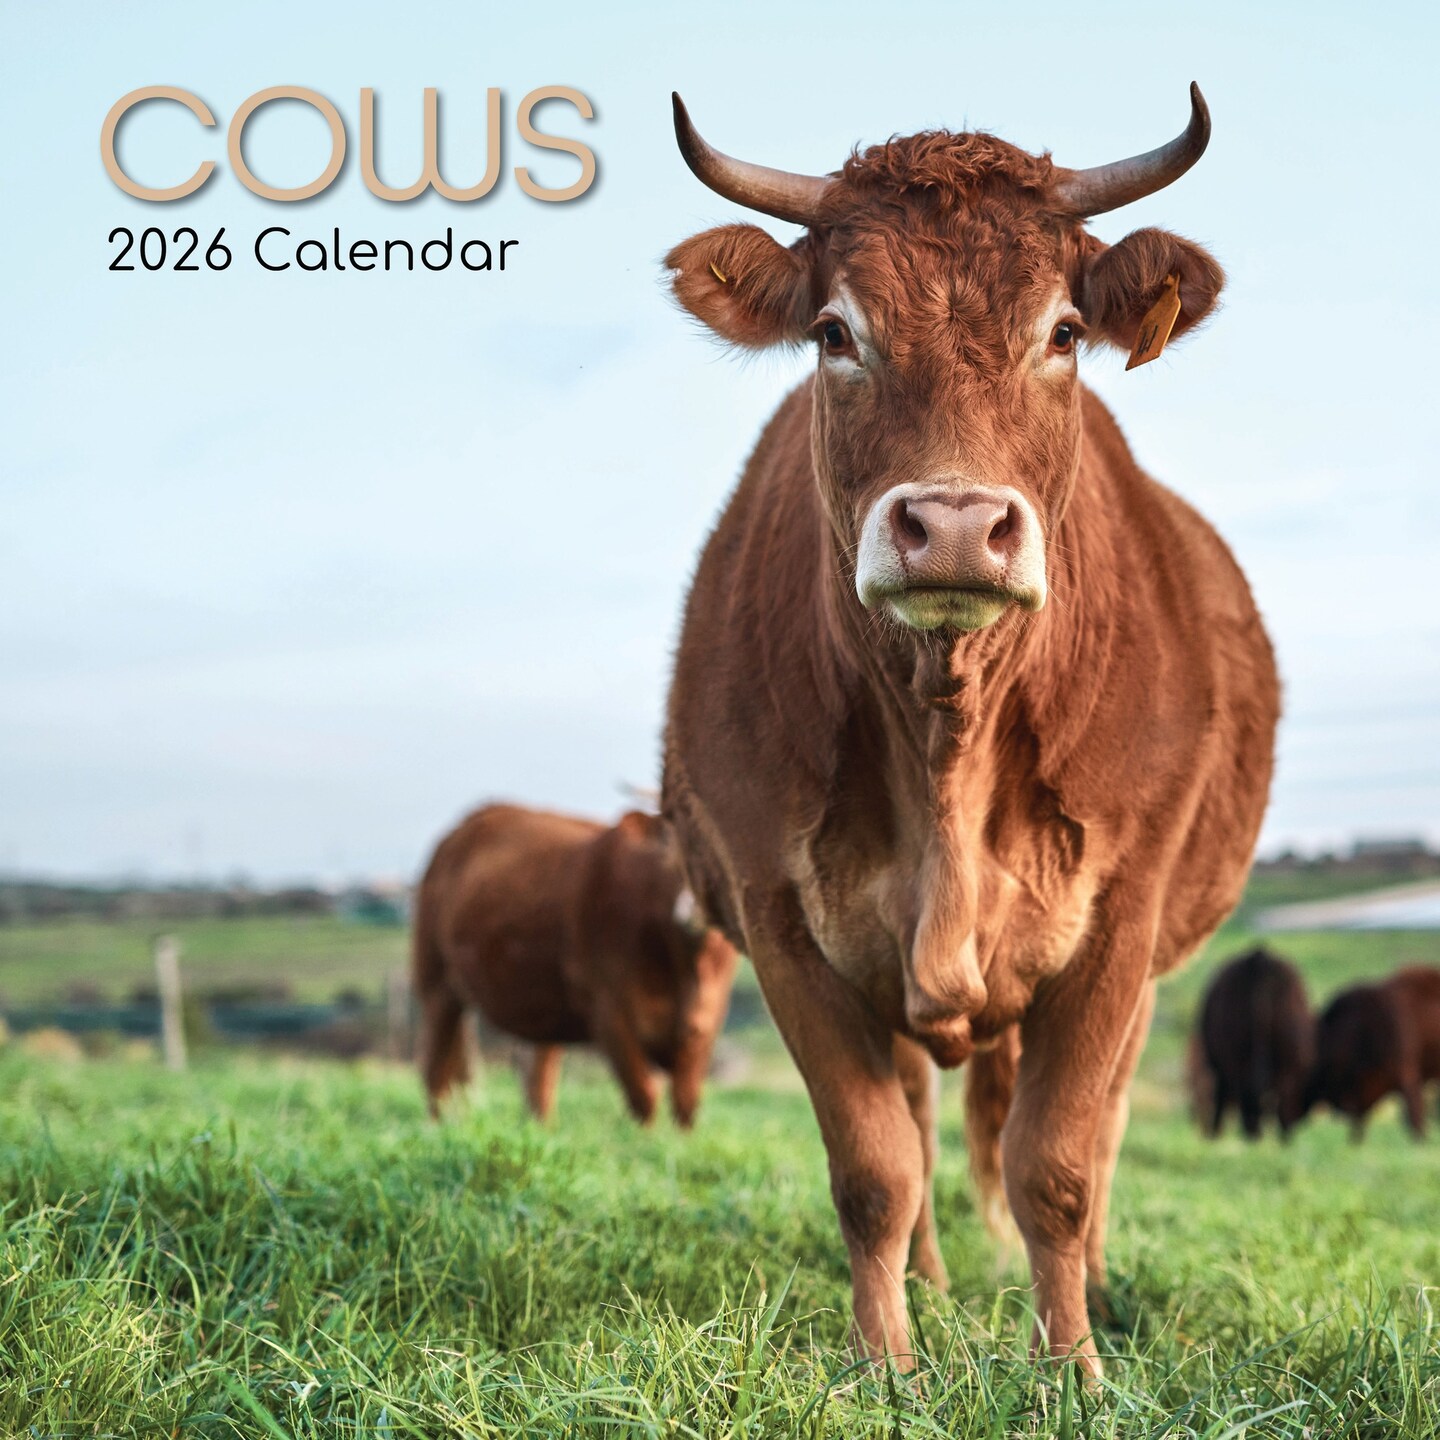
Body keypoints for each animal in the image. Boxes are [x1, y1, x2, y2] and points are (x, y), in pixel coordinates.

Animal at [412, 803, 739, 1126]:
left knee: (536, 1078)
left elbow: (686, 1103)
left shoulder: (707, 1021)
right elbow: (644, 1098)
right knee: (436, 1071)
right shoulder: (608, 1010)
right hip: (437, 983)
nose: (695, 908)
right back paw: (437, 1127)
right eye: (671, 848)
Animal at [659, 85, 1278, 1373]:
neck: (947, 734)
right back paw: (935, 1287)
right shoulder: (782, 921)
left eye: (1063, 332)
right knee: (925, 1121)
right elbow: (875, 1168)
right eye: (834, 333)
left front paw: (1072, 1368)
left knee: (1095, 1131)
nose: (951, 525)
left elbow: (1057, 1166)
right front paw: (887, 1365)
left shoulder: (1120, 925)